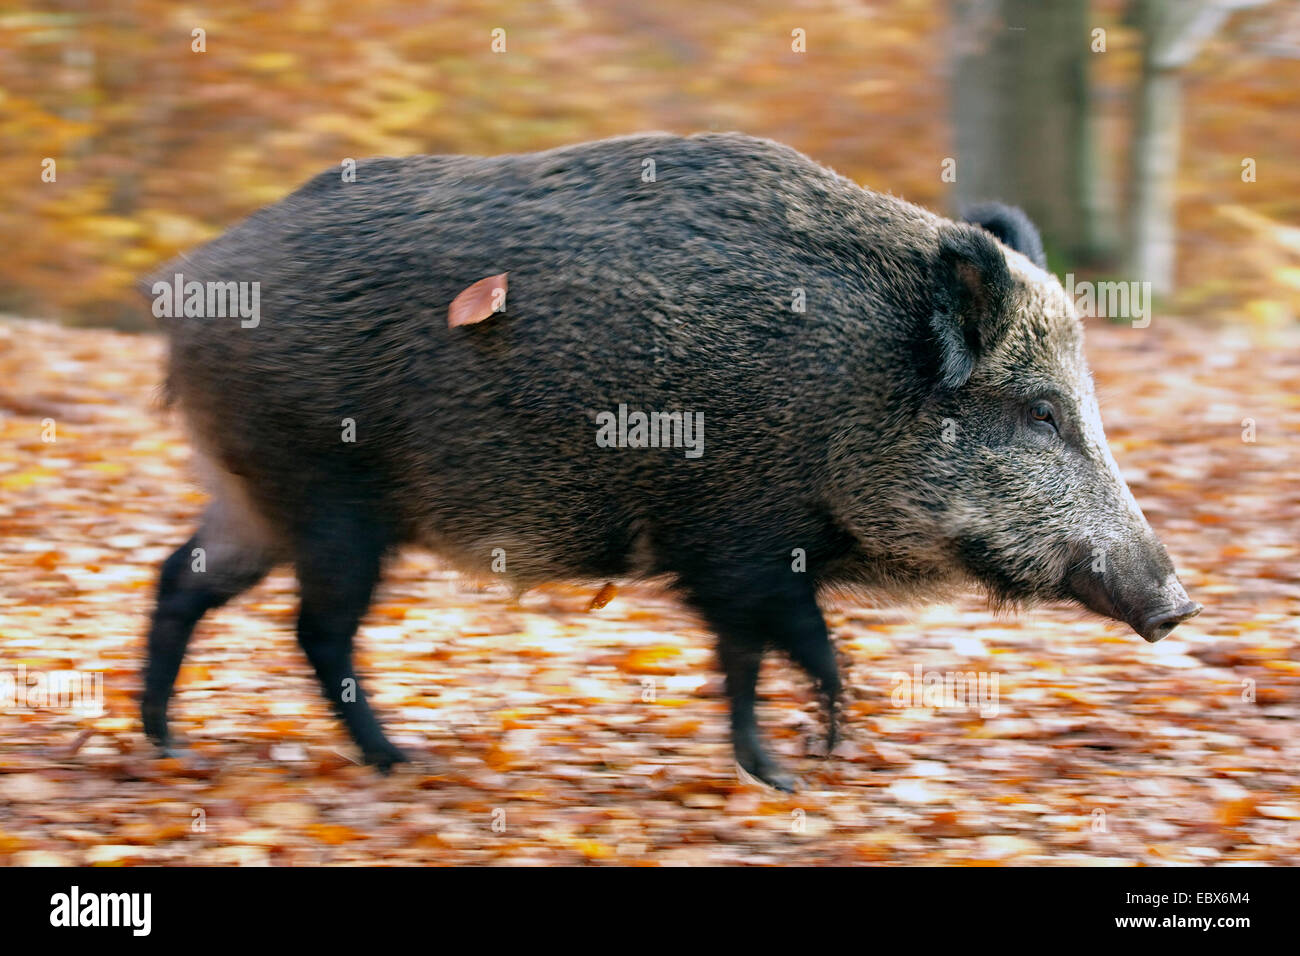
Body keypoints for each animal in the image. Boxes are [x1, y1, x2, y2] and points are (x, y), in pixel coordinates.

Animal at [141, 132, 1200, 790]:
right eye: (1039, 412)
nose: (1179, 605)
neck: (851, 389)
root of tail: (190, 283)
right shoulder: (735, 538)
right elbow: (799, 647)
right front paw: (820, 752)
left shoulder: (746, 556)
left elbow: (744, 660)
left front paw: (779, 770)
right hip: (332, 501)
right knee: (315, 629)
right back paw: (399, 762)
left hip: (260, 497)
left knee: (179, 580)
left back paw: (166, 743)